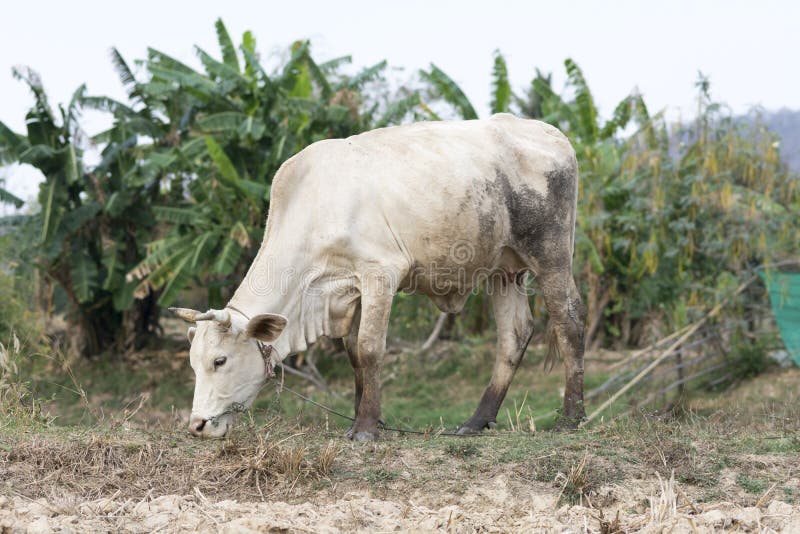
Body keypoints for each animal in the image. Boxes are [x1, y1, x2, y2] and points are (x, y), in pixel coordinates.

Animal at [170, 113, 586, 440]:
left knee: (570, 321)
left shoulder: (380, 275)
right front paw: (364, 417)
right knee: (514, 335)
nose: (197, 425)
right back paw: (477, 420)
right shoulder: (348, 290)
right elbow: (354, 353)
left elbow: (371, 349)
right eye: (192, 363)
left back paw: (571, 417)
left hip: (551, 255)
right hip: (503, 270)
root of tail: (552, 133)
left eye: (220, 360)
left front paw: (366, 428)